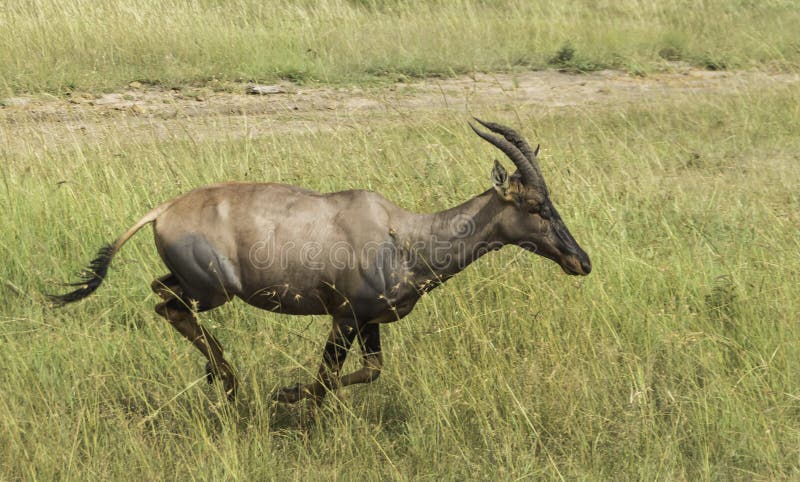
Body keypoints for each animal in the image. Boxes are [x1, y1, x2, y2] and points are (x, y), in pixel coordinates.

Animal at [51, 120, 591, 403]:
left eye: (550, 201)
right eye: (534, 205)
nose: (580, 261)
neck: (403, 234)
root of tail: (162, 210)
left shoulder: (370, 322)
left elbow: (370, 372)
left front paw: (289, 394)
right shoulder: (345, 316)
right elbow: (327, 377)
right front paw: (287, 395)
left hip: (199, 288)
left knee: (162, 295)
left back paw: (222, 378)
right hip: (213, 292)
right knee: (167, 303)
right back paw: (227, 378)